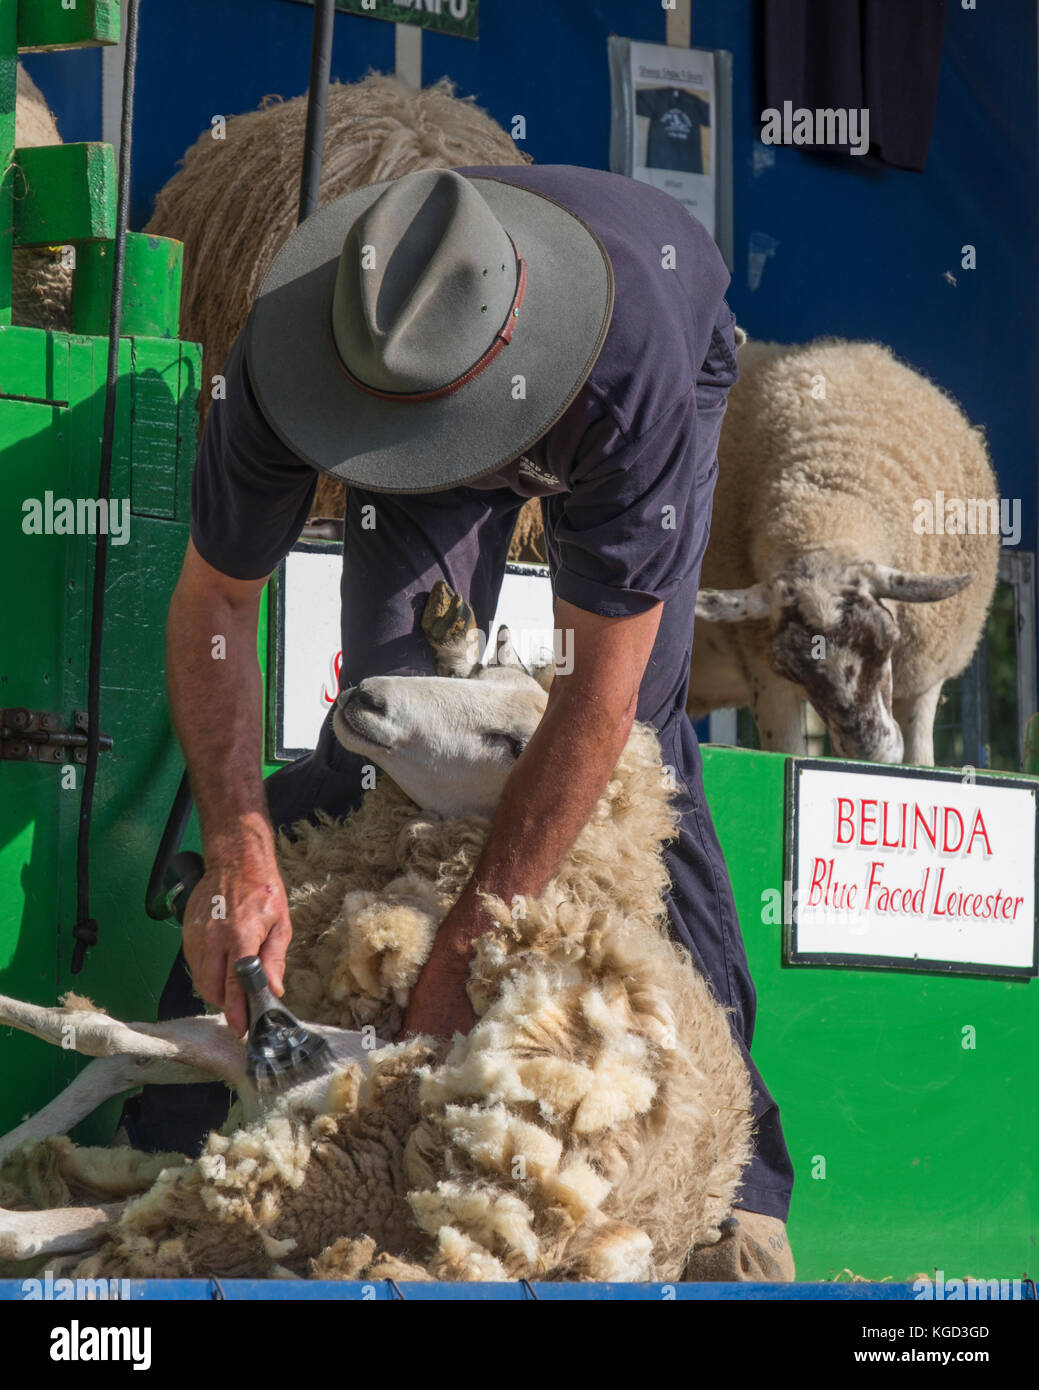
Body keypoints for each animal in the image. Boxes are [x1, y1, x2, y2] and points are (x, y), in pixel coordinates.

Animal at [687, 338, 1001, 765]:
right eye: (791, 669)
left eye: (888, 640)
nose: (870, 755)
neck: (825, 516)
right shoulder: (764, 673)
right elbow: (785, 752)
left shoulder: (927, 673)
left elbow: (922, 761)